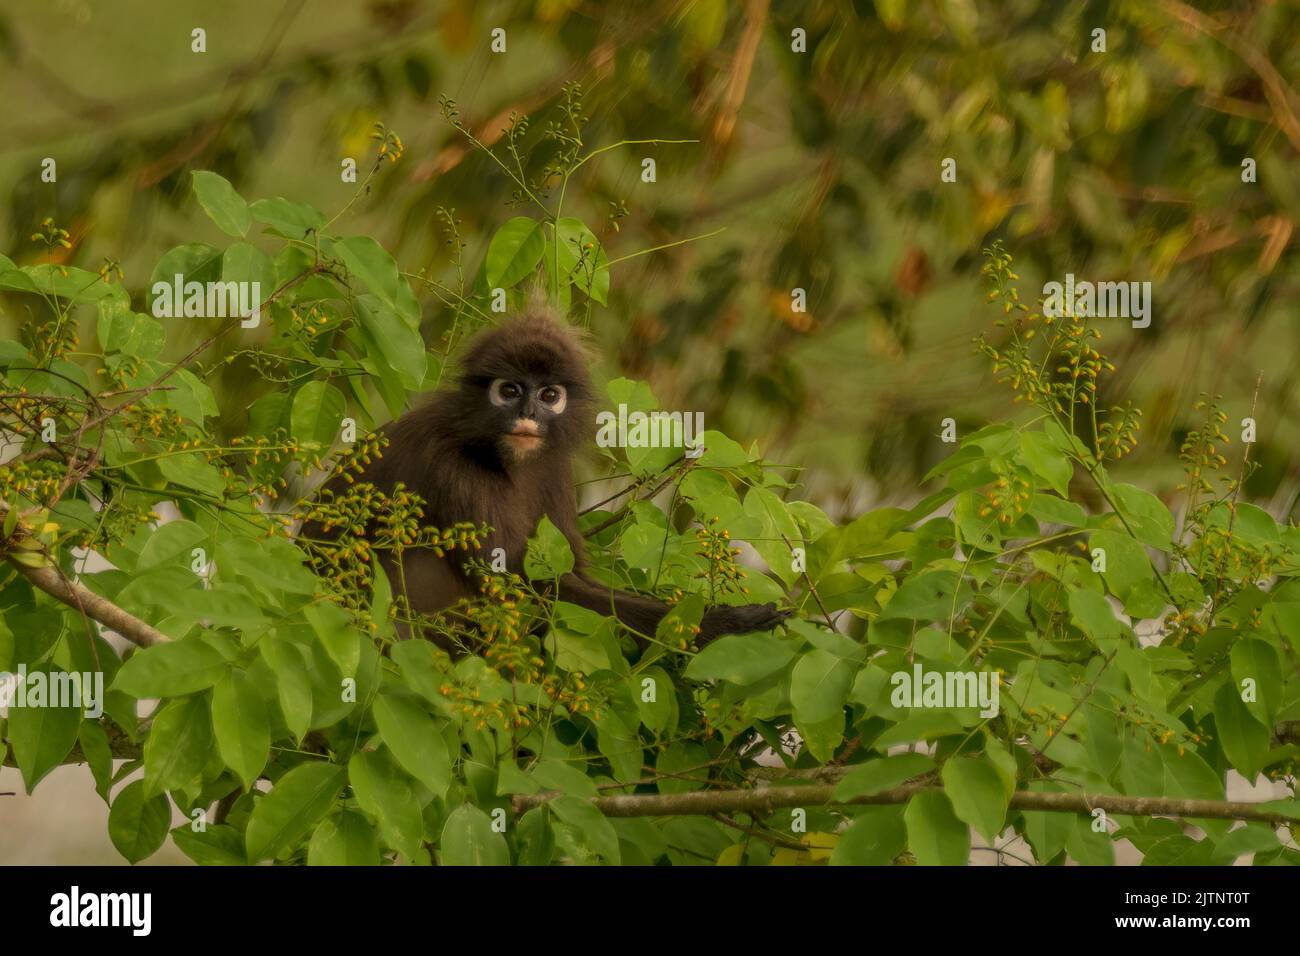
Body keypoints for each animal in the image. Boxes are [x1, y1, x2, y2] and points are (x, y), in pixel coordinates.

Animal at [309, 307, 790, 651]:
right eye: (509, 391)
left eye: (548, 395)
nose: (527, 414)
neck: (501, 456)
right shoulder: (455, 469)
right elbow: (522, 589)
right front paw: (723, 623)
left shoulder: (554, 465)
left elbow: (567, 573)